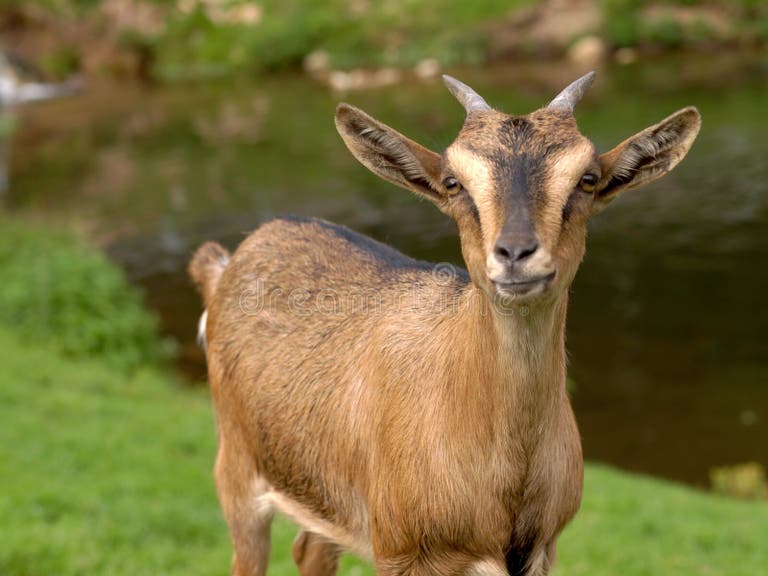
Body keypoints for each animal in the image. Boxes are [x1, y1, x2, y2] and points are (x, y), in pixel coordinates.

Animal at [189, 72, 701, 576]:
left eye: (588, 178)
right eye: (453, 182)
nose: (515, 252)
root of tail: (226, 263)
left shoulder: (540, 550)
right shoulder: (398, 548)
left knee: (310, 551)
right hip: (236, 472)